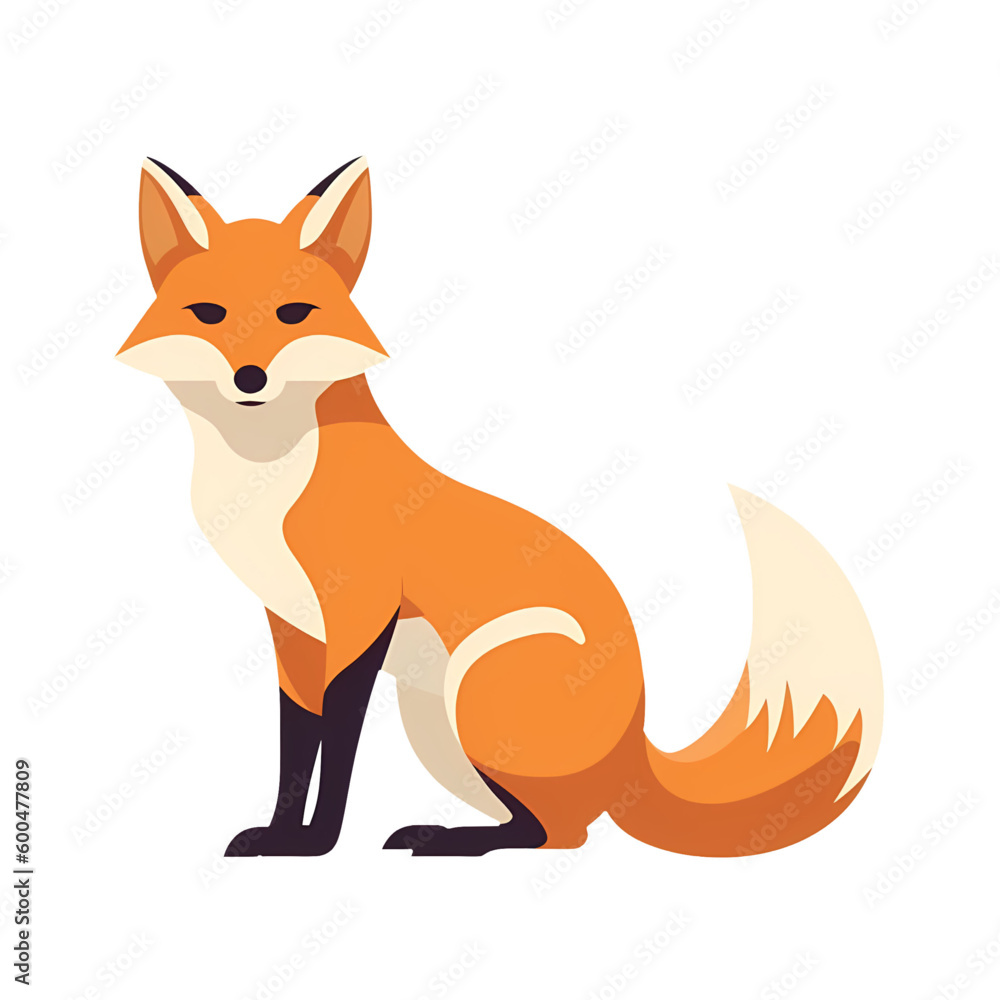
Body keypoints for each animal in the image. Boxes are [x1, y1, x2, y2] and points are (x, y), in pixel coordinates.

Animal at [117, 156, 883, 858]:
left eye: (293, 314)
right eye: (209, 314)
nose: (250, 376)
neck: (266, 477)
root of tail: (634, 755)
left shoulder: (361, 614)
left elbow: (336, 749)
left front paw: (317, 844)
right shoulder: (295, 628)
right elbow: (295, 745)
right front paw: (280, 836)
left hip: (480, 685)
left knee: (561, 835)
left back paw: (455, 842)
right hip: (436, 723)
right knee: (547, 826)